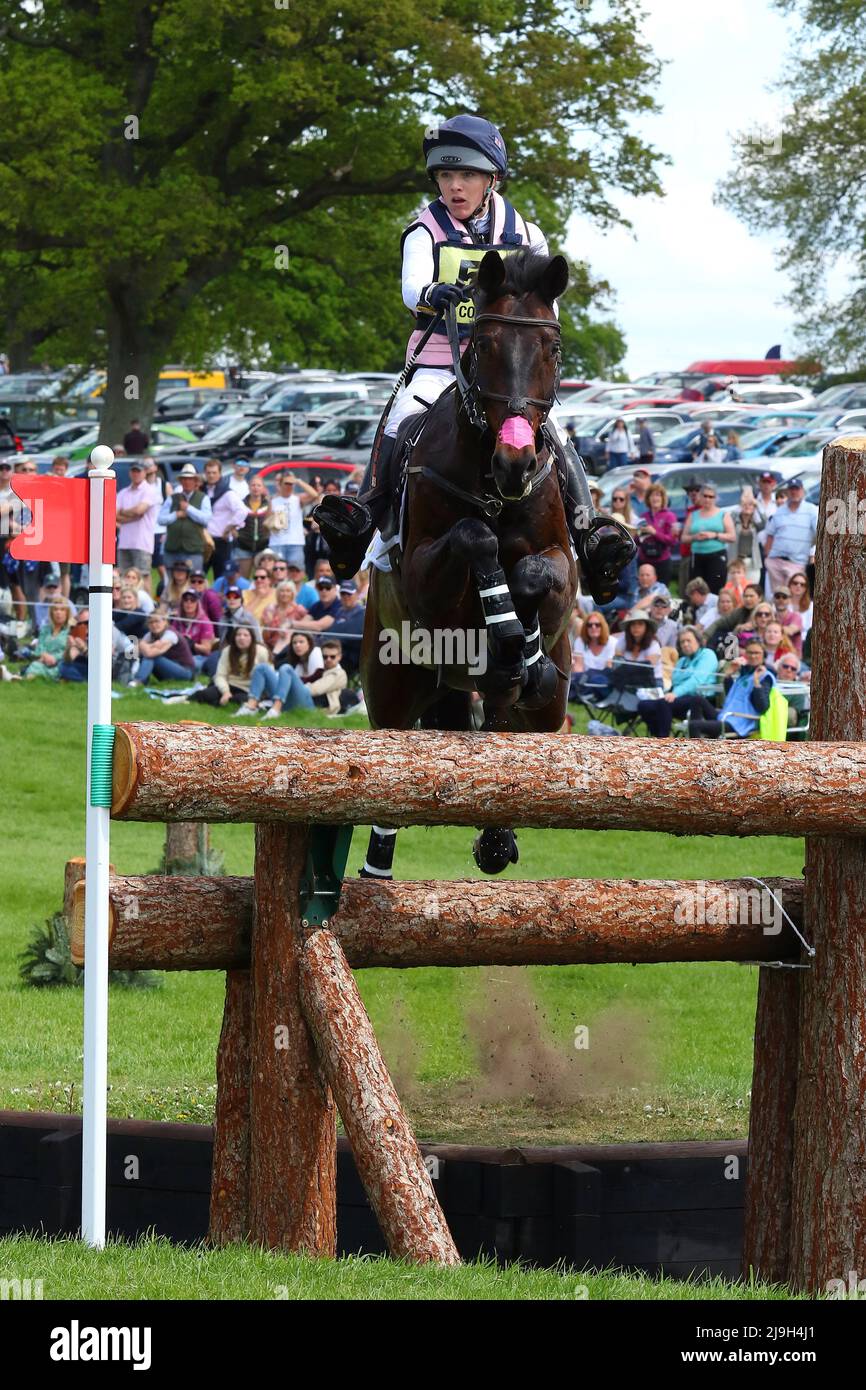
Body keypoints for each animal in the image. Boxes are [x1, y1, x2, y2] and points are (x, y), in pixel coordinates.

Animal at [357, 249, 578, 879]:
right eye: (483, 344)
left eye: (552, 349)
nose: (515, 463)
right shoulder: (423, 578)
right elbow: (474, 536)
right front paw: (503, 625)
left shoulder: (562, 563)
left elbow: (537, 575)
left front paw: (521, 644)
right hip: (391, 682)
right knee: (391, 766)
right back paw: (377, 867)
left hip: (550, 710)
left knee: (511, 730)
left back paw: (498, 836)